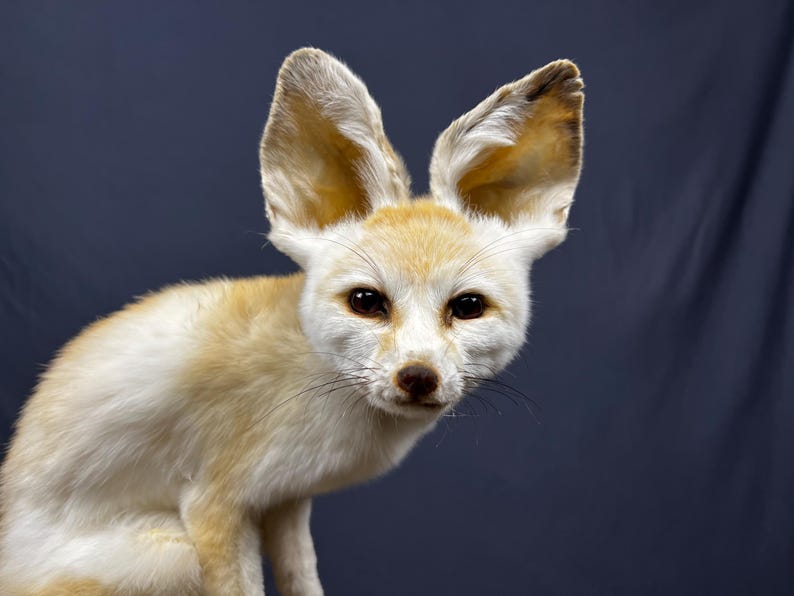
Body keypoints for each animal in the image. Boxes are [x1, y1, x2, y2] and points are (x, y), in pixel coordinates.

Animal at [0, 48, 584, 595]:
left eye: (466, 307)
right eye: (366, 301)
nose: (417, 377)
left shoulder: (284, 498)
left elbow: (302, 576)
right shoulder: (214, 503)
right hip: (171, 554)